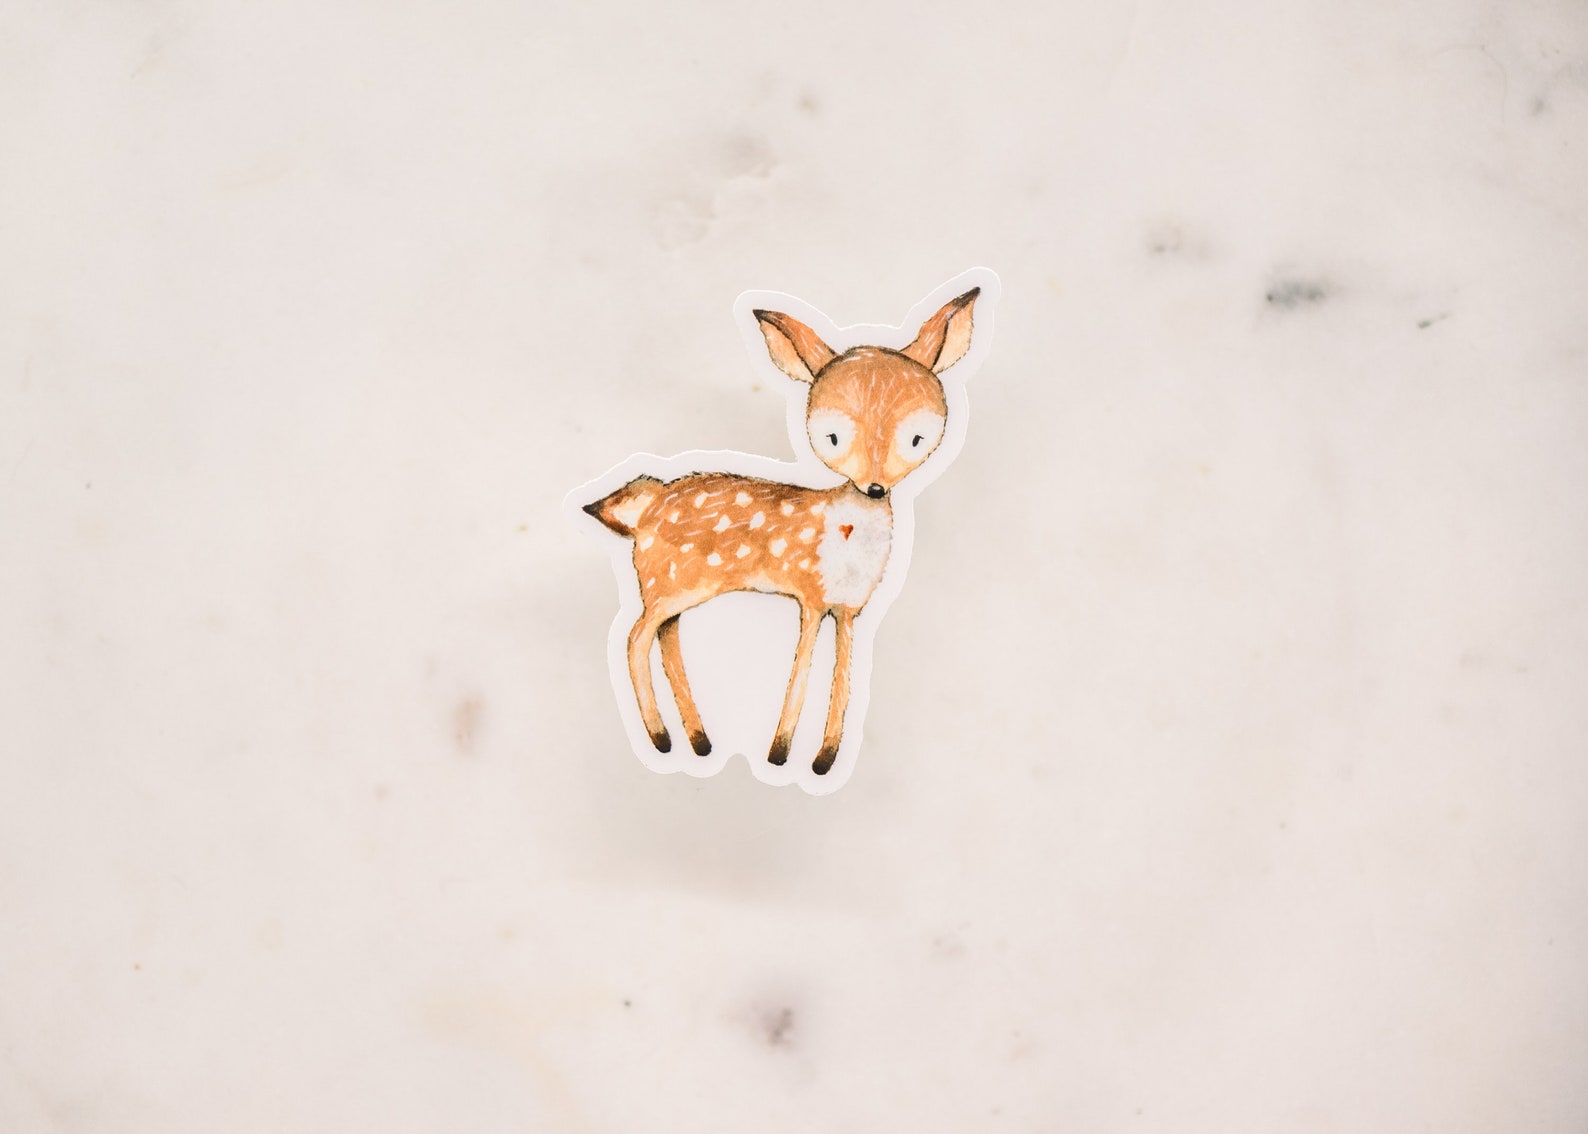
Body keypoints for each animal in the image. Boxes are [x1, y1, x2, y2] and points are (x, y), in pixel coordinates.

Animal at [582, 286, 982, 777]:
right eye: (832, 437)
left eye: (917, 439)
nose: (874, 487)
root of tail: (647, 503)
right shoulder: (809, 594)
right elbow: (803, 663)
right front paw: (779, 753)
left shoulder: (850, 609)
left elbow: (844, 671)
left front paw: (825, 760)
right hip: (672, 583)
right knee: (635, 636)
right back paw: (661, 740)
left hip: (672, 587)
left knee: (663, 636)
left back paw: (698, 742)